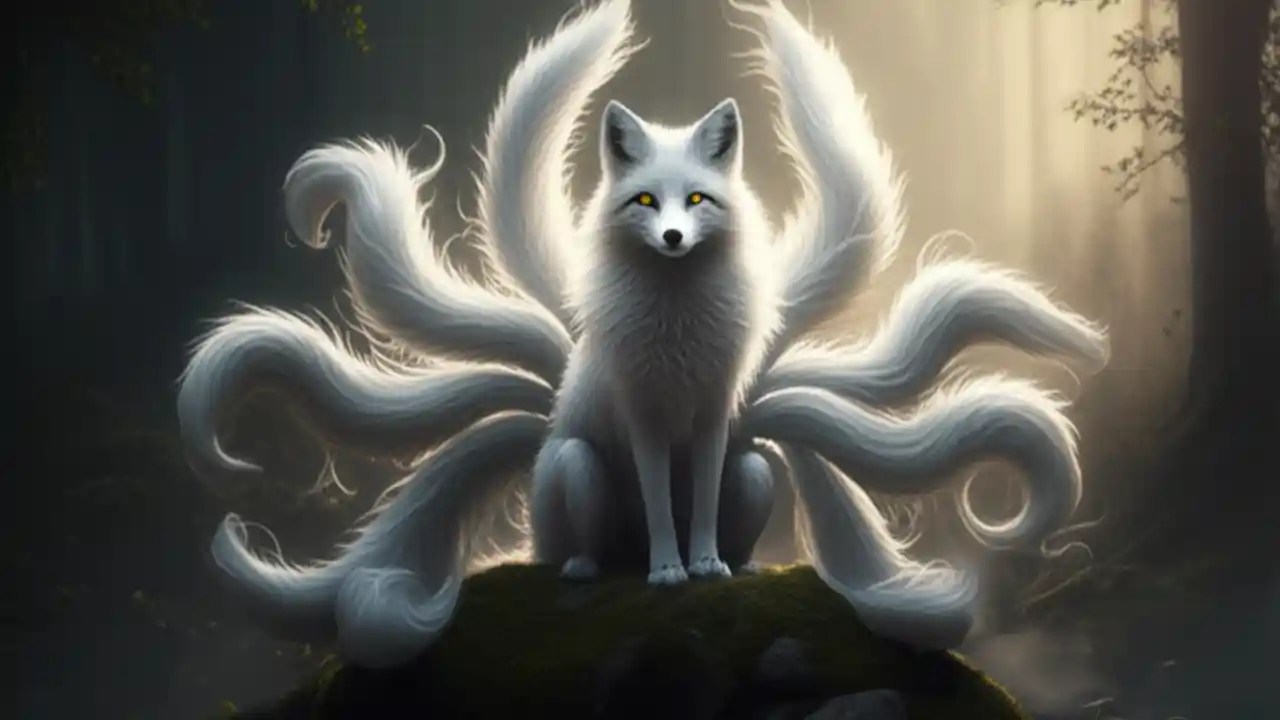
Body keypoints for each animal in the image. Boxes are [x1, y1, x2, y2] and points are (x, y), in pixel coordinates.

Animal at [176, 0, 1109, 670]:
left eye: (697, 200)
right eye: (643, 201)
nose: (668, 237)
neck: (676, 317)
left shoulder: (715, 414)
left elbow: (696, 502)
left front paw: (704, 569)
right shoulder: (644, 414)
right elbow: (662, 501)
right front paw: (667, 570)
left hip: (757, 468)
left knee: (742, 490)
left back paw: (738, 565)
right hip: (572, 467)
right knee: (577, 544)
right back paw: (594, 567)